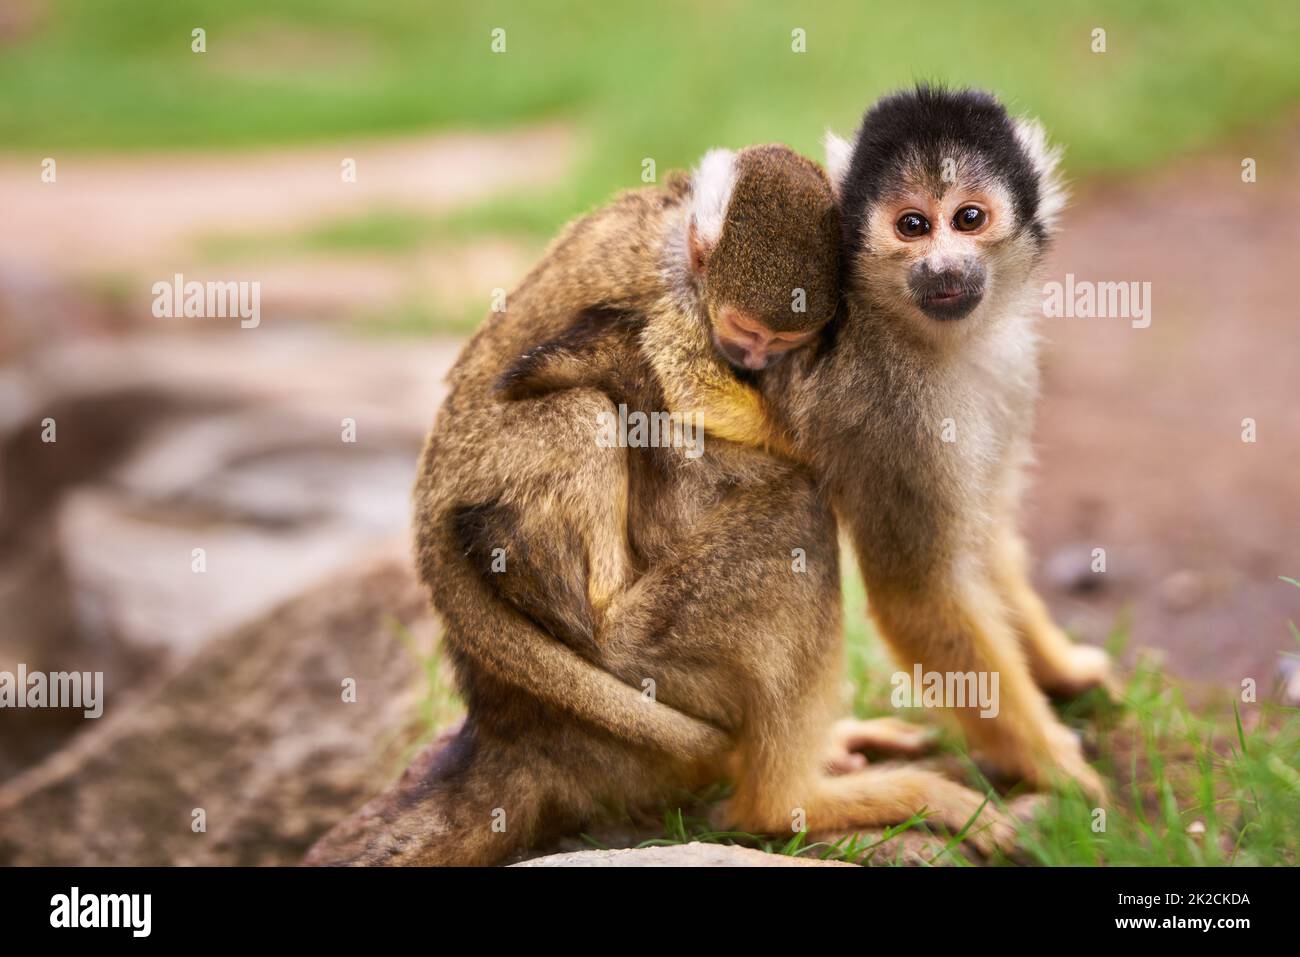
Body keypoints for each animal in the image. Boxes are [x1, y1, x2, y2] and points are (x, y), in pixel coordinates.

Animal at [305, 142, 1012, 867]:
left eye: (780, 342)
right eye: (744, 329)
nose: (750, 354)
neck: (683, 230)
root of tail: (428, 497)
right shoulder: (675, 299)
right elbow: (687, 378)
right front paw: (810, 441)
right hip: (490, 465)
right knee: (593, 419)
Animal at [759, 85, 1112, 798]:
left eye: (968, 218)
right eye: (913, 227)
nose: (944, 265)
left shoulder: (1007, 371)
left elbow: (985, 538)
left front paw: (1060, 669)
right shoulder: (891, 412)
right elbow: (917, 595)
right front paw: (1056, 768)